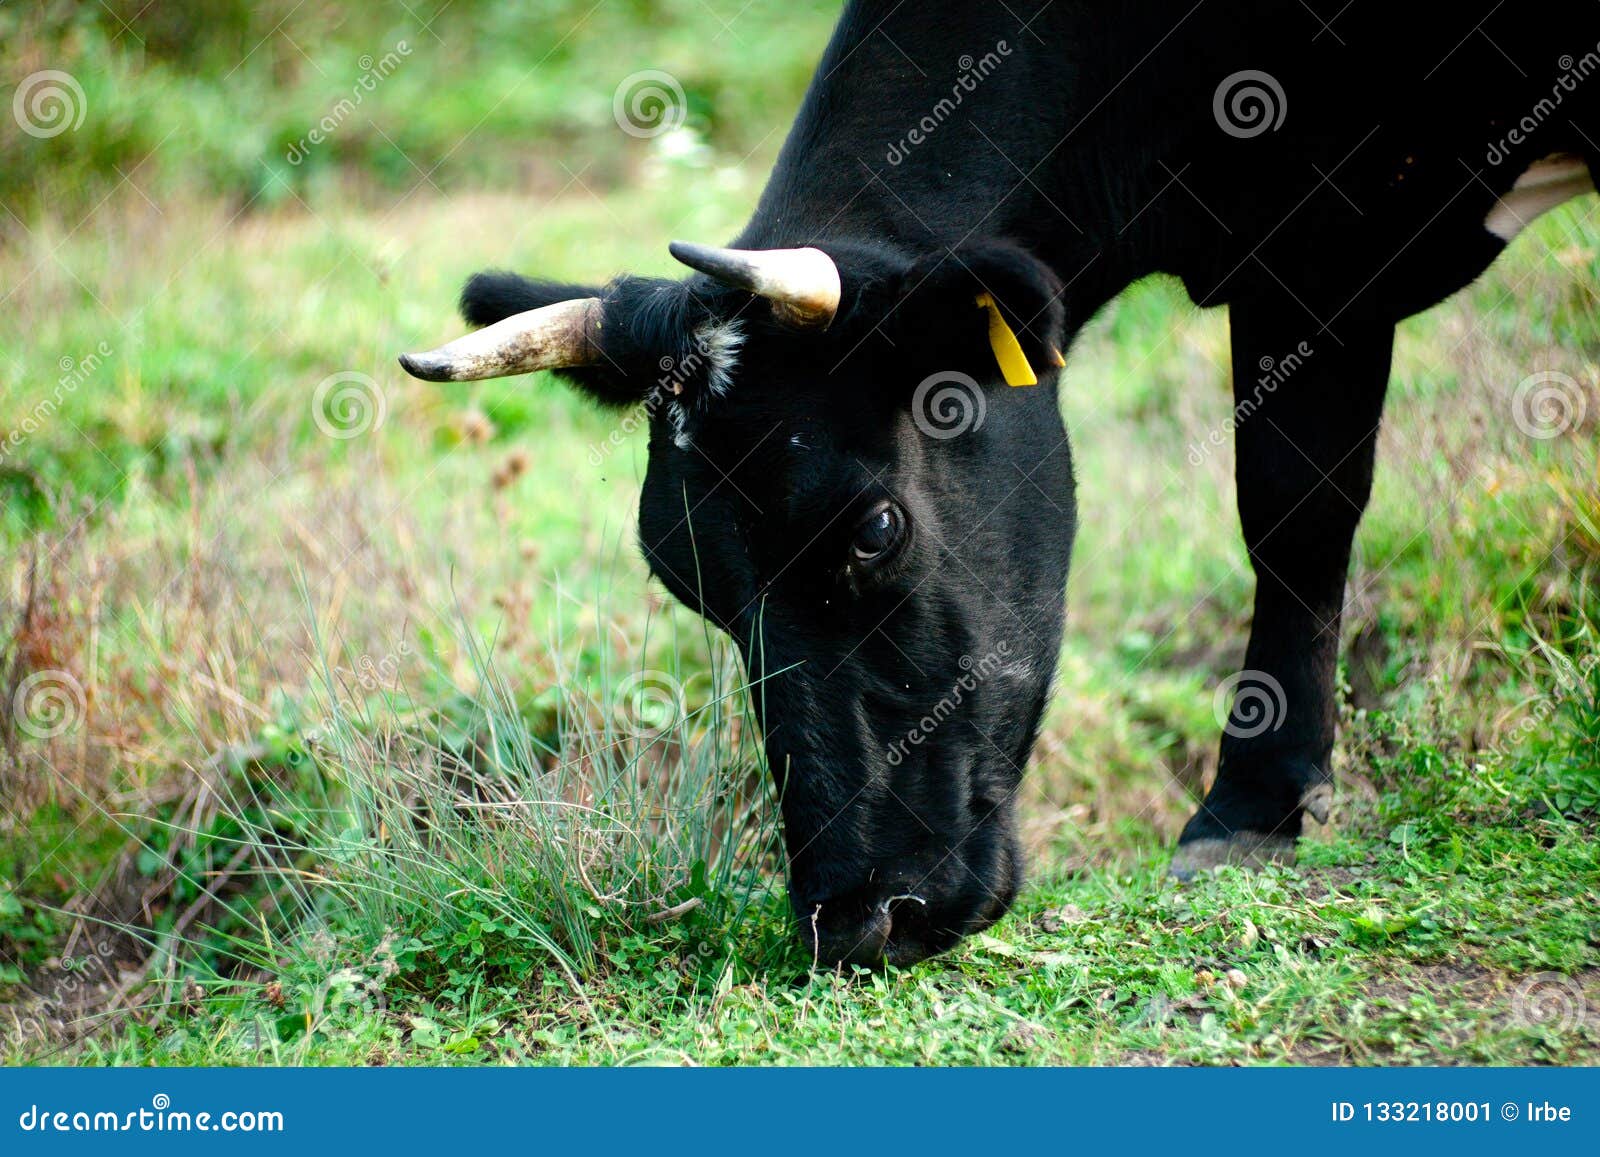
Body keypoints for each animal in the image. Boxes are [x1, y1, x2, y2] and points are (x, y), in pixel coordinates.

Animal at [400, 1, 1600, 967]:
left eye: (874, 527)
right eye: (684, 579)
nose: (857, 921)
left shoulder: (1318, 249)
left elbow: (1296, 509)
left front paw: (1248, 808)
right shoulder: (1300, 247)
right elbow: (1290, 505)